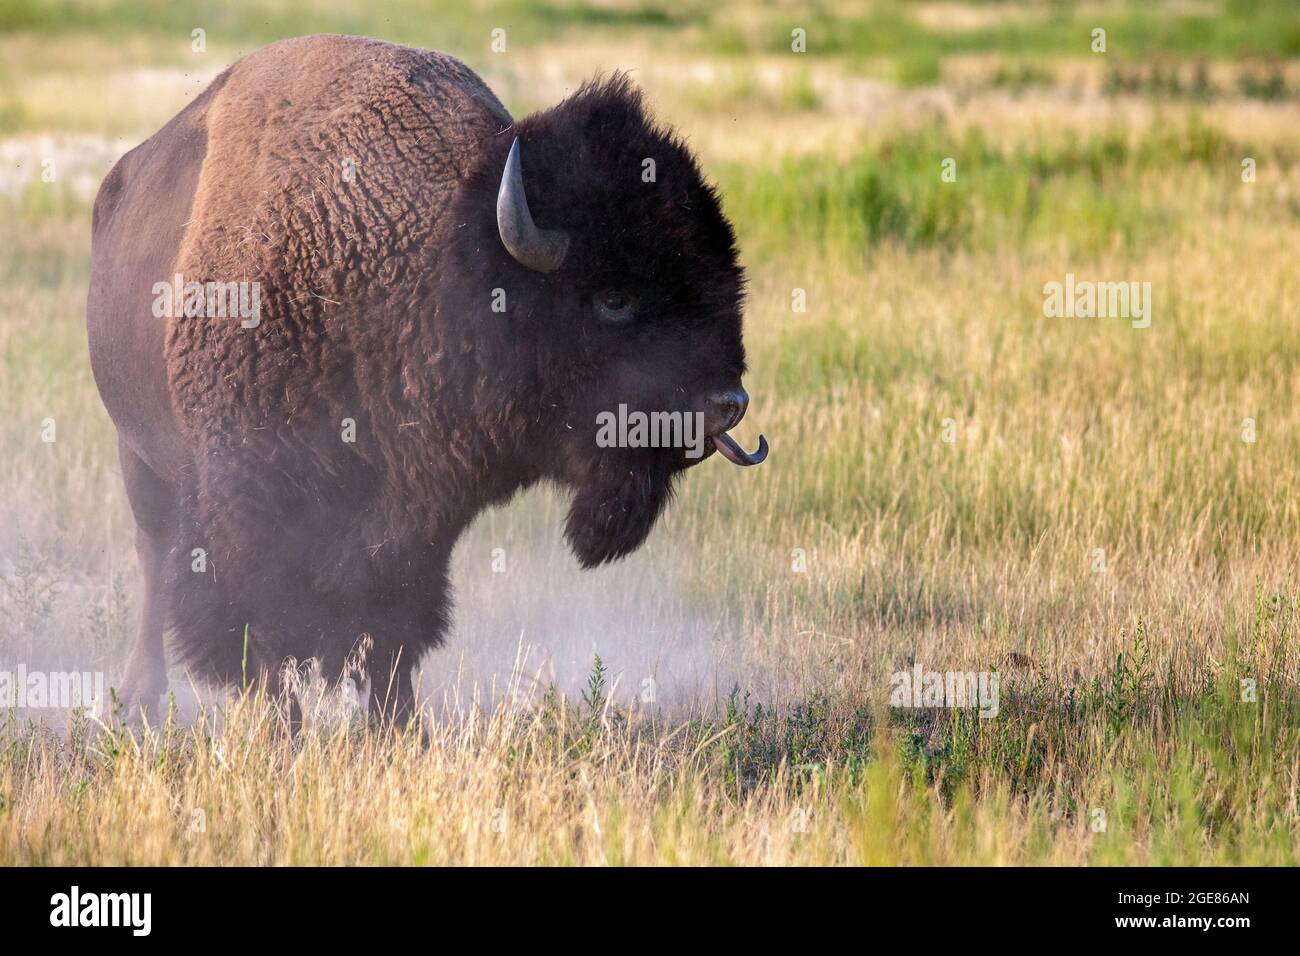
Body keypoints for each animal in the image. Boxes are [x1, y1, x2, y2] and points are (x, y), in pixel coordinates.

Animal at [86, 34, 765, 719]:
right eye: (615, 298)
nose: (726, 403)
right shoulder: (246, 499)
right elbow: (257, 626)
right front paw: (284, 728)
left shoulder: (419, 516)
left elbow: (395, 624)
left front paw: (400, 727)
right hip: (135, 453)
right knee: (154, 555)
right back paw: (140, 698)